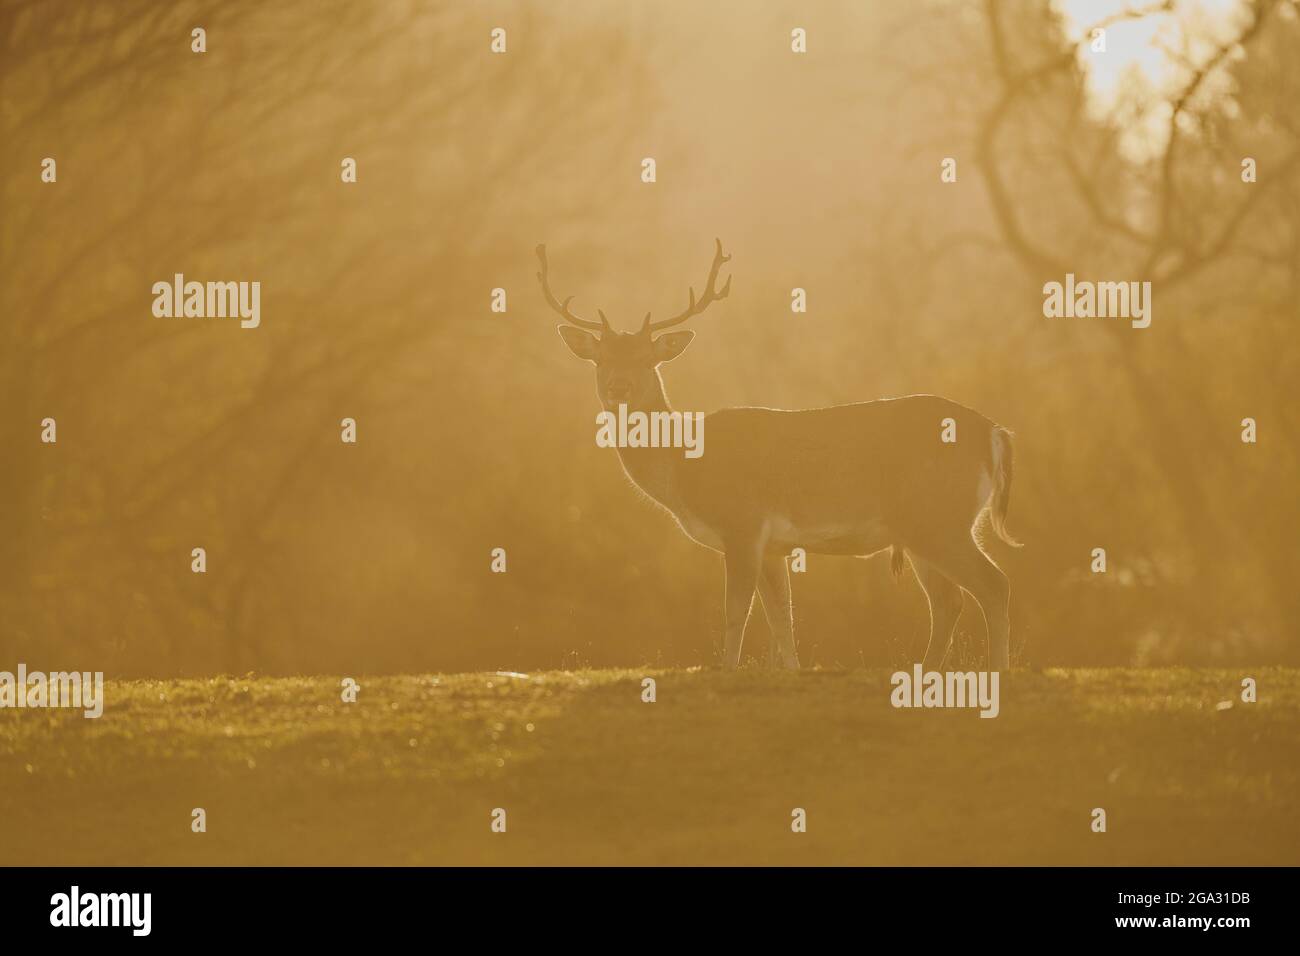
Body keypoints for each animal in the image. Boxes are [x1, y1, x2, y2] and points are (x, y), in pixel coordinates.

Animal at [538, 239, 1022, 672]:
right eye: (600, 358)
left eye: (646, 359)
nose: (618, 386)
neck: (685, 467)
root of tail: (995, 432)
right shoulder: (775, 547)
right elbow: (781, 619)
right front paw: (788, 670)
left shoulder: (743, 524)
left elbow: (737, 613)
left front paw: (728, 671)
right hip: (925, 528)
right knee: (949, 601)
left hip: (937, 517)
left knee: (993, 584)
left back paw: (996, 671)